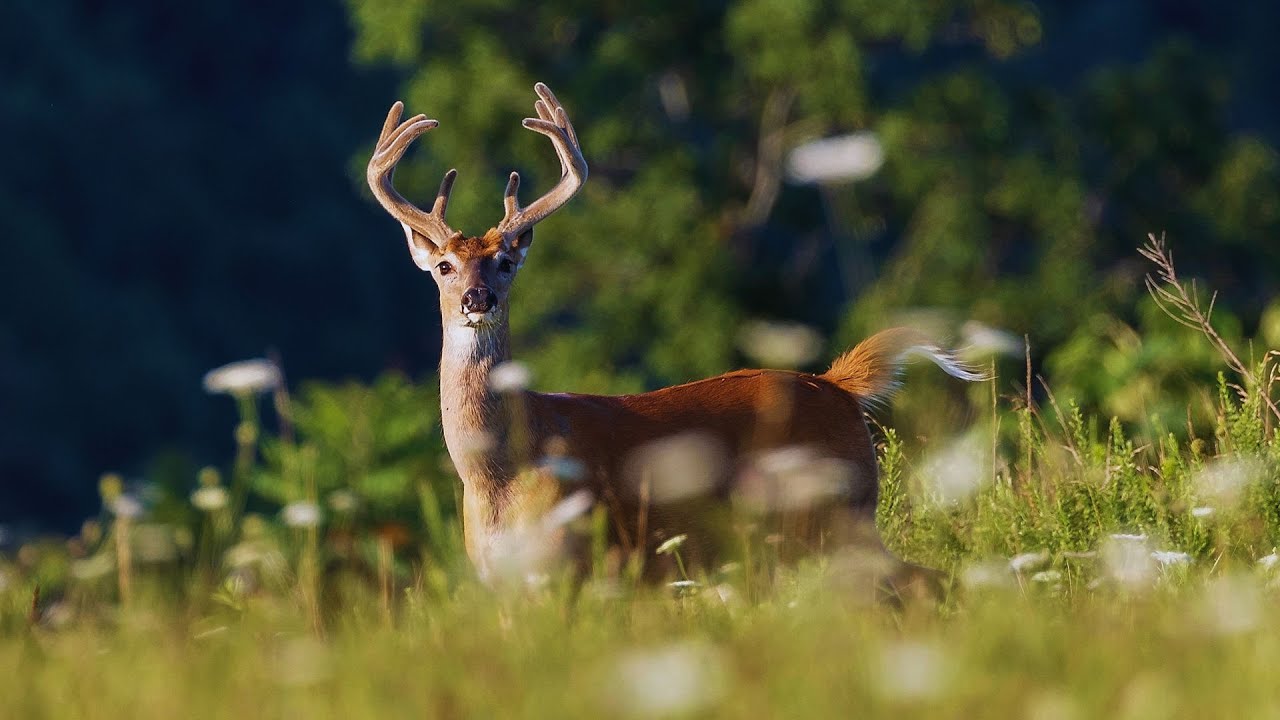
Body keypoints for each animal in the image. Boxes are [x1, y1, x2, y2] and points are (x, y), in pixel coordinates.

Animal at [366, 83, 982, 599]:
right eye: (444, 266)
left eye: (506, 262)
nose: (478, 299)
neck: (500, 475)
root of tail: (835, 384)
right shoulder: (503, 585)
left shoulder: (582, 564)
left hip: (837, 516)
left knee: (921, 581)